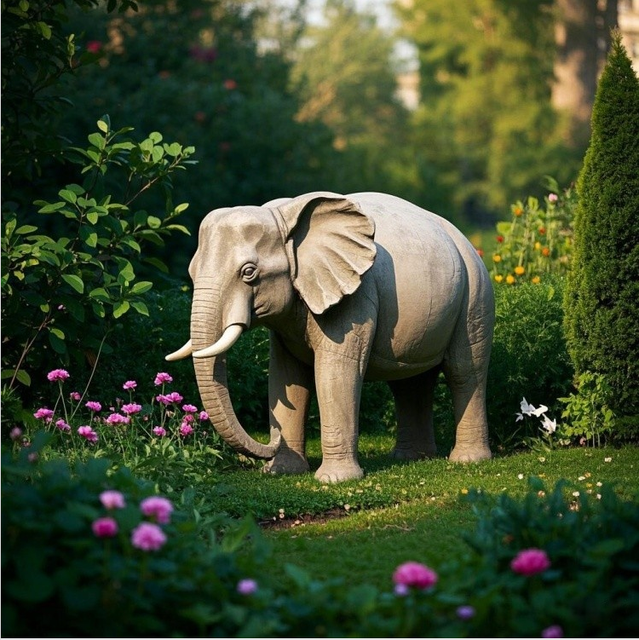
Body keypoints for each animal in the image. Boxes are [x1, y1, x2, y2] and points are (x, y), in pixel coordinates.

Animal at [166, 191, 494, 483]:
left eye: (249, 272)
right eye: (191, 273)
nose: (272, 441)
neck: (283, 215)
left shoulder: (356, 297)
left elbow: (335, 373)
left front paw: (334, 481)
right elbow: (287, 377)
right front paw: (282, 472)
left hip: (475, 297)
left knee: (464, 372)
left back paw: (467, 460)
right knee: (410, 383)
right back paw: (412, 458)